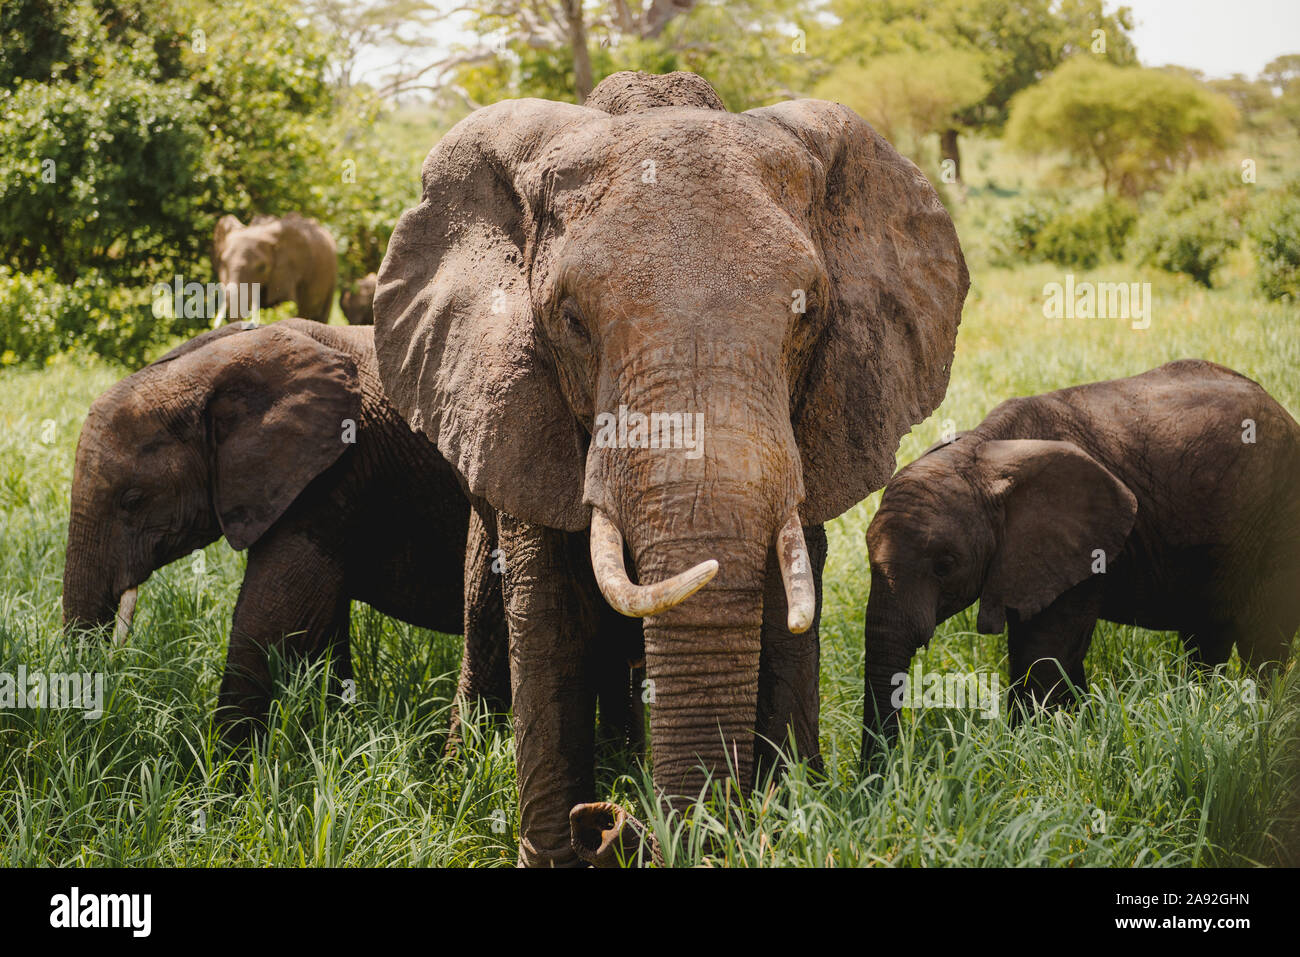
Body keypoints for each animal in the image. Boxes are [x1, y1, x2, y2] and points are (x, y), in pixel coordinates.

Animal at [372, 70, 968, 866]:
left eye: (808, 314)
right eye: (570, 320)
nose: (610, 822)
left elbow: (787, 607)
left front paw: (787, 816)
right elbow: (545, 618)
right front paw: (554, 850)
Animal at [860, 359, 1300, 762]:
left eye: (945, 564)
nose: (878, 784)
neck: (981, 451)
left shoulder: (1085, 545)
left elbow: (1043, 652)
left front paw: (1028, 756)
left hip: (1280, 514)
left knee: (1264, 639)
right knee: (1207, 634)